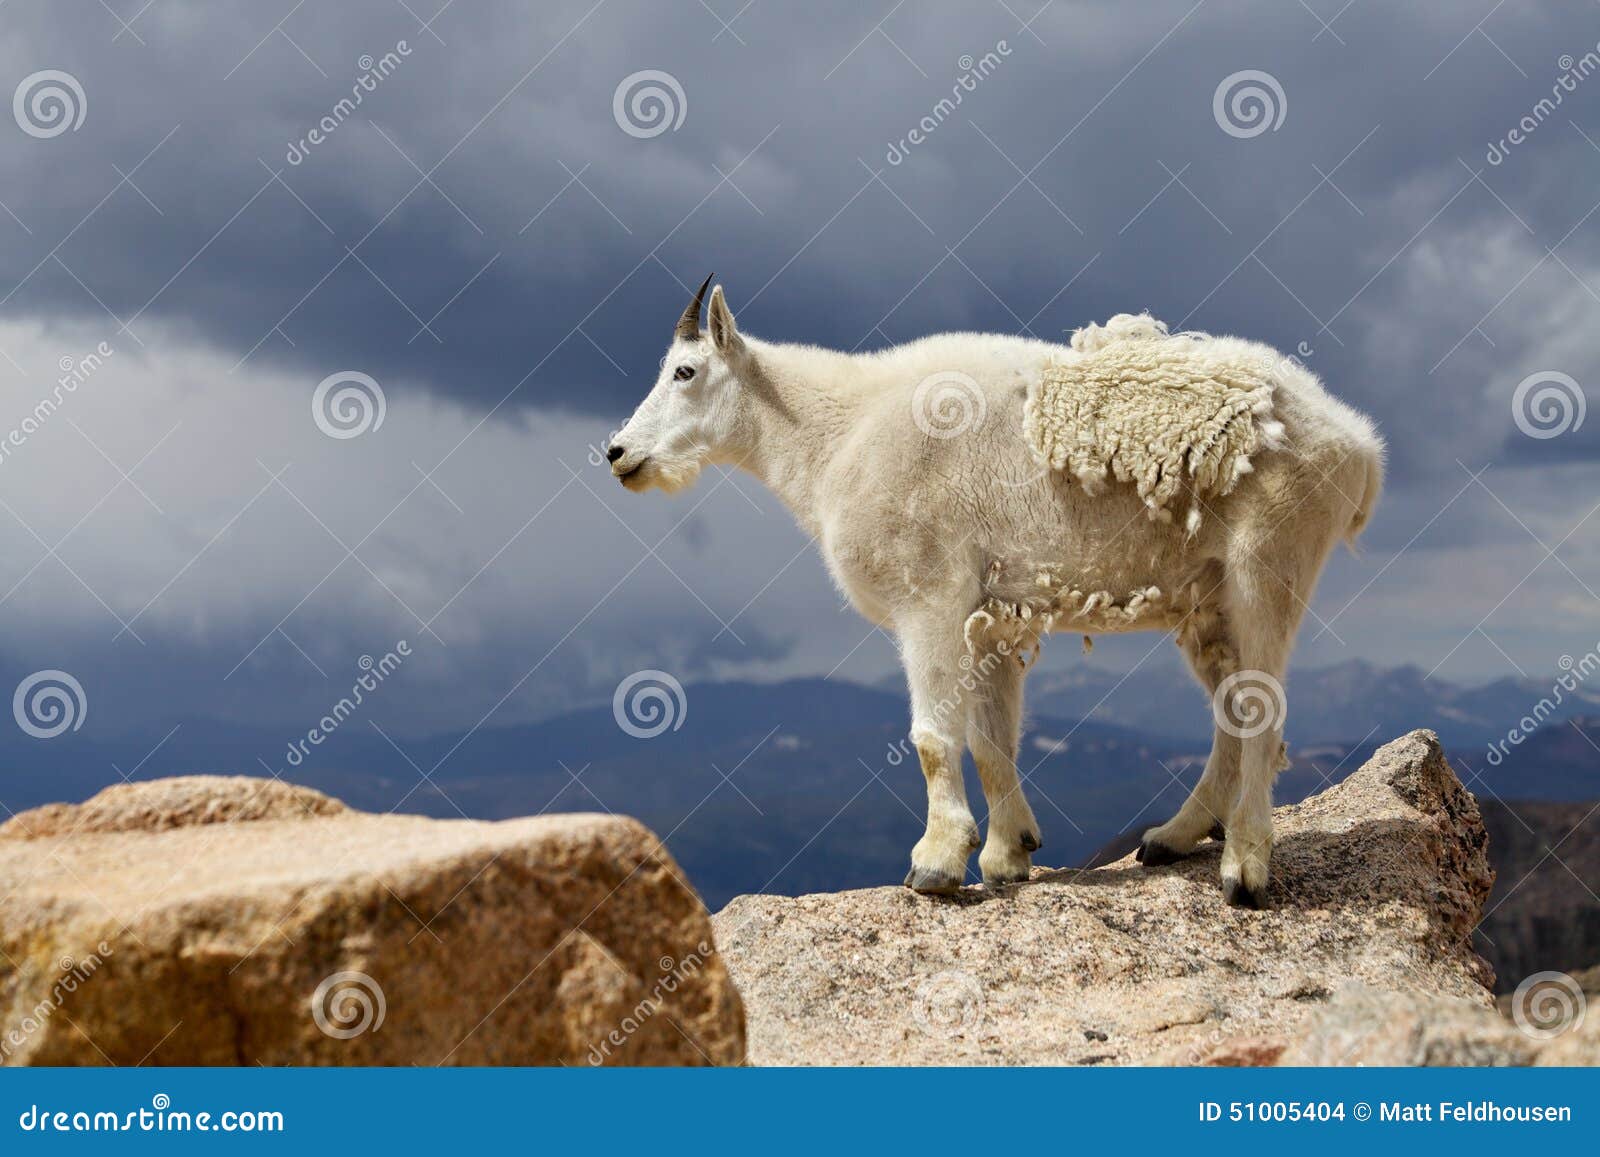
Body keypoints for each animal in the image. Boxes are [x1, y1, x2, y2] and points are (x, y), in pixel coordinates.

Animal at [607, 277, 1384, 908]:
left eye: (684, 370)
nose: (618, 453)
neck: (835, 433)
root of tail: (1358, 443)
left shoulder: (929, 595)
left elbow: (932, 737)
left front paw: (936, 864)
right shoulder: (990, 612)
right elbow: (989, 739)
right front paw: (1010, 855)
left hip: (1269, 562)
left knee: (1263, 713)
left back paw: (1244, 869)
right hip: (1208, 596)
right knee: (1233, 708)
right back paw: (1173, 835)